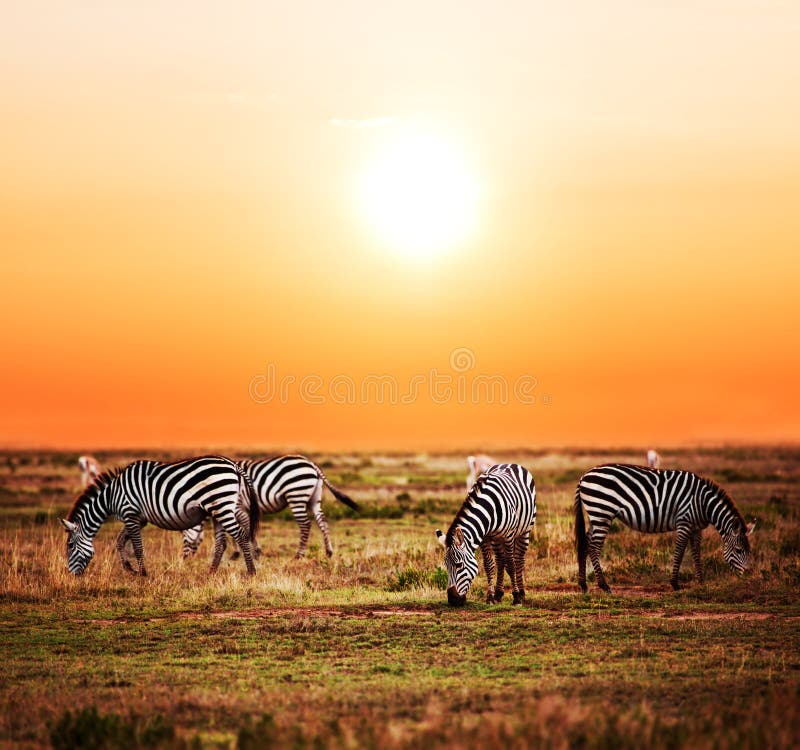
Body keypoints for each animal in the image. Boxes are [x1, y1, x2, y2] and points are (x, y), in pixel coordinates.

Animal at [61, 455, 260, 576]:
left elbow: (137, 546)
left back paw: (251, 572)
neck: (111, 495)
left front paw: (143, 573)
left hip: (221, 504)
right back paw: (211, 572)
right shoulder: (138, 518)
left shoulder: (131, 513)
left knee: (241, 535)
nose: (71, 575)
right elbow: (120, 541)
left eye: (70, 545)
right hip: (218, 509)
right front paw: (129, 568)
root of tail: (233, 464)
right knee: (221, 543)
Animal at [182, 455, 359, 560]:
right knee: (322, 520)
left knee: (305, 524)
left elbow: (242, 529)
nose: (184, 560)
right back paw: (329, 552)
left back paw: (299, 555)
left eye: (183, 534)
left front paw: (247, 553)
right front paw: (242, 552)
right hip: (314, 498)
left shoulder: (237, 506)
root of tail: (311, 464)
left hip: (296, 495)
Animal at [436, 463, 536, 606]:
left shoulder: (508, 535)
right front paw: (490, 597)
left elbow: (511, 565)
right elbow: (489, 565)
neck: (489, 509)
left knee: (518, 560)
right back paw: (499, 594)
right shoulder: (485, 537)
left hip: (525, 530)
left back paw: (521, 593)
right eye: (446, 566)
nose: (452, 600)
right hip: (497, 538)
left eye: (459, 565)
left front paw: (516, 597)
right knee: (500, 560)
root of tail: (510, 464)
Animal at [574, 464, 755, 593]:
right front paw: (675, 584)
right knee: (594, 547)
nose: (749, 574)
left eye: (749, 551)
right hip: (602, 512)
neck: (704, 503)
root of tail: (584, 476)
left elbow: (696, 553)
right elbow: (679, 552)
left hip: (596, 515)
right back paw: (604, 586)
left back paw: (583, 585)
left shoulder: (696, 528)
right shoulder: (684, 522)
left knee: (585, 543)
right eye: (738, 550)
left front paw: (701, 582)